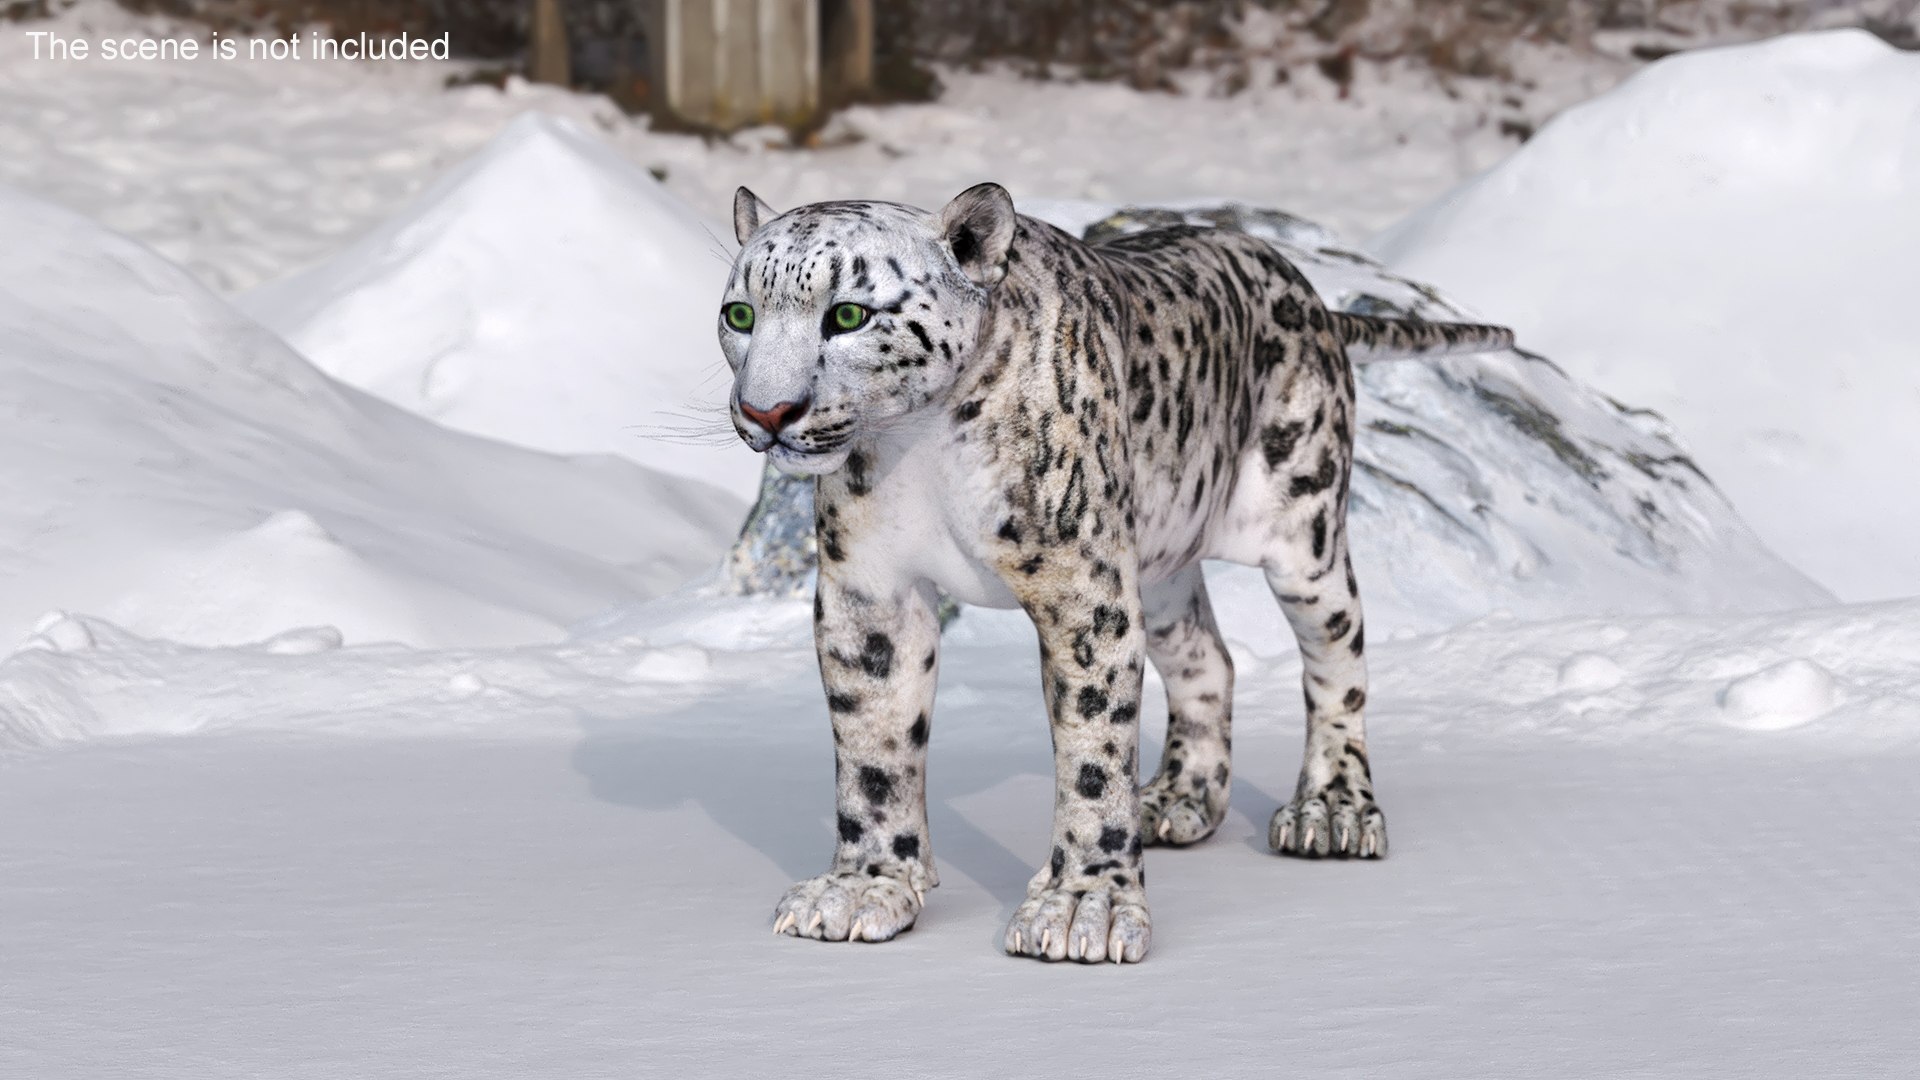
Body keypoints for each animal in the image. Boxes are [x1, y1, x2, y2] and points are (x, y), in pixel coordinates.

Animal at [717, 183, 1513, 963]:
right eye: (740, 314)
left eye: (848, 314)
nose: (767, 411)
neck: (917, 447)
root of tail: (1306, 290)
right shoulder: (869, 593)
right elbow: (875, 749)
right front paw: (865, 886)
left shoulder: (1082, 591)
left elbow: (1094, 753)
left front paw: (1083, 906)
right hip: (1159, 571)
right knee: (1209, 661)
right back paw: (1180, 798)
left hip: (1305, 534)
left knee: (1338, 664)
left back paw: (1333, 810)